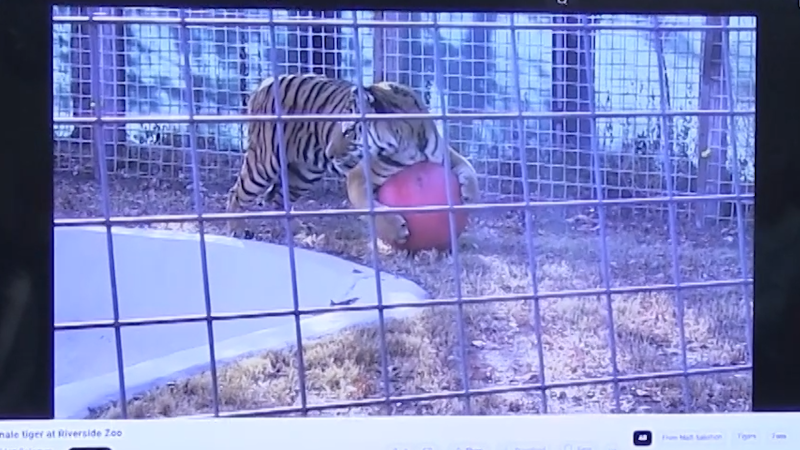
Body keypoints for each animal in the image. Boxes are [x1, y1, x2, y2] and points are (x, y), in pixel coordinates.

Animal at [326, 80, 481, 246]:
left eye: (348, 131)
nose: (328, 154)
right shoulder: (358, 175)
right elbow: (364, 202)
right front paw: (395, 230)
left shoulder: (445, 153)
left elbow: (469, 167)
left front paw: (471, 196)